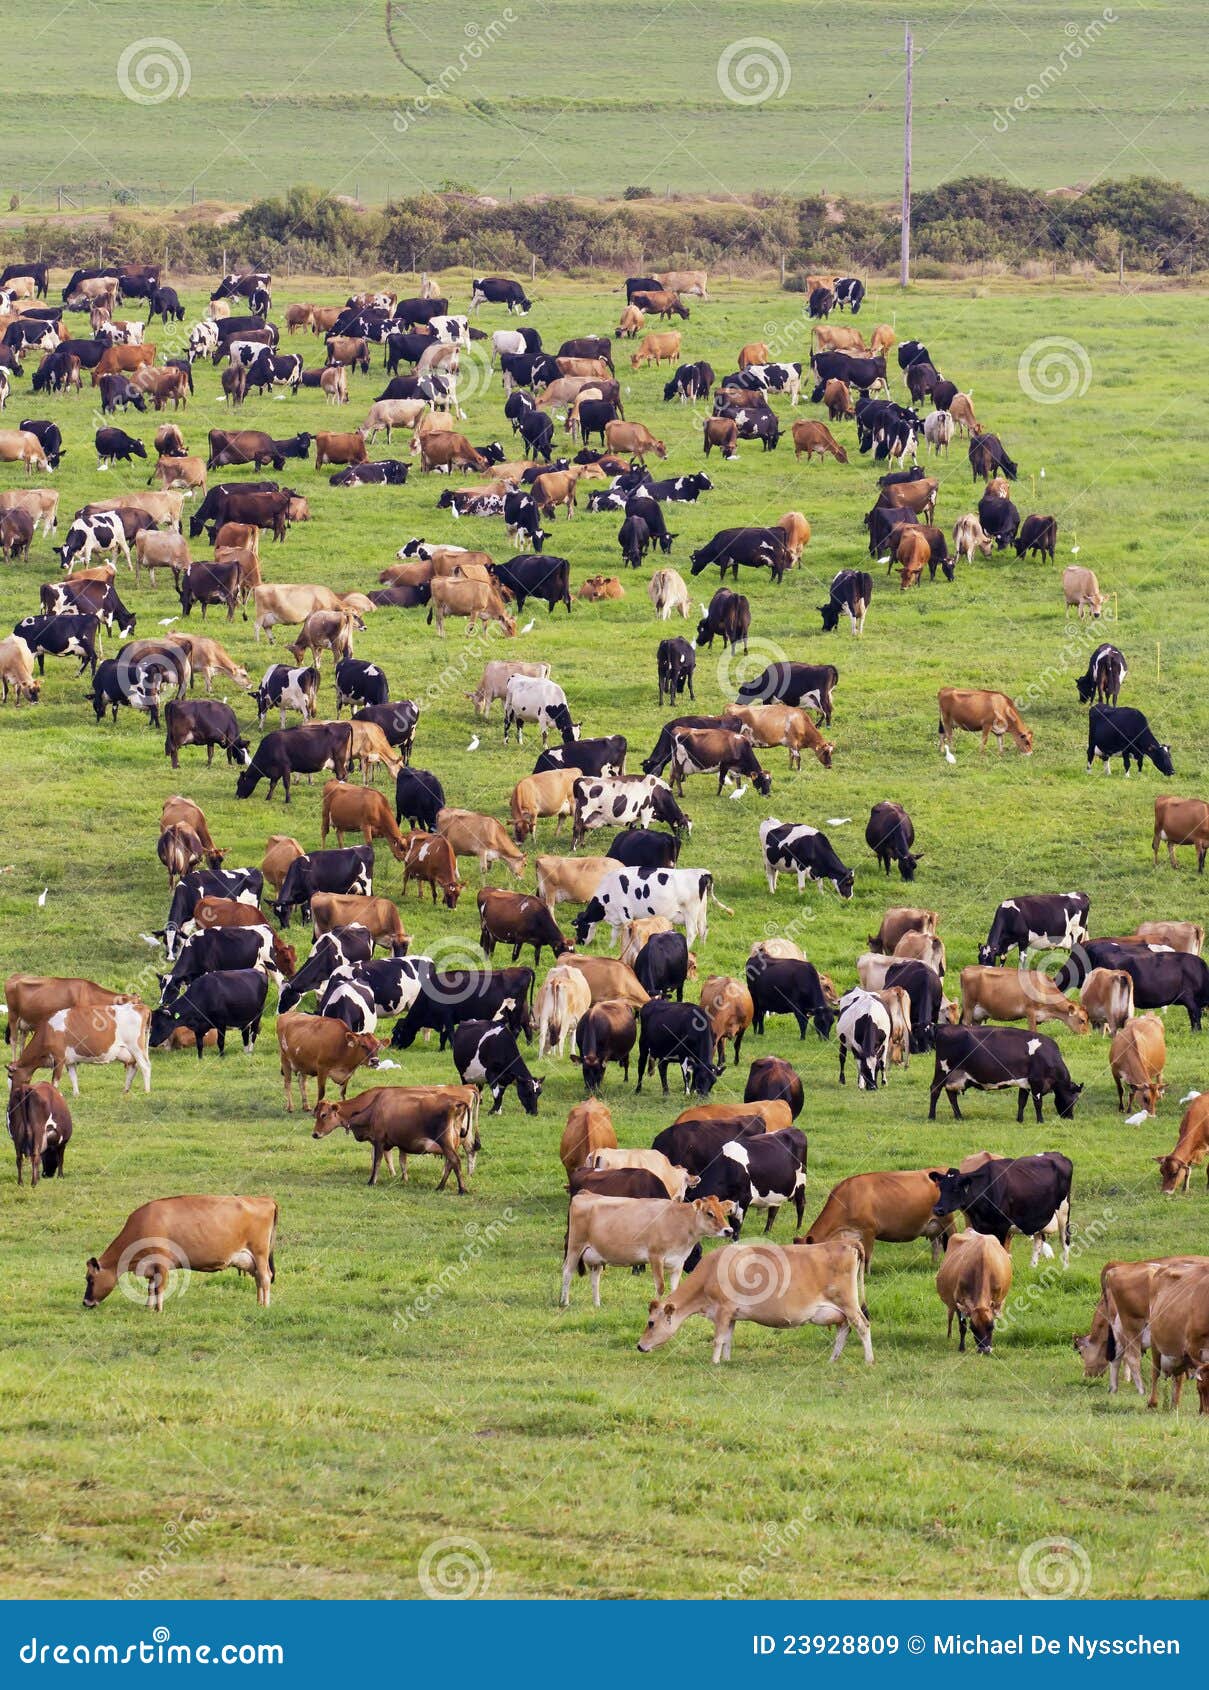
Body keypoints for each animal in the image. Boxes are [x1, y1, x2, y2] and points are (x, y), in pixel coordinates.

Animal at [927, 1026, 1082, 1126]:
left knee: (951, 1094)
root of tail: (943, 1027)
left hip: (954, 1076)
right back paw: (931, 1117)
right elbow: (1037, 1103)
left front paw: (1019, 1120)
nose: (1070, 1117)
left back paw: (959, 1117)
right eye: (1073, 1100)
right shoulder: (1036, 1081)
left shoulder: (1025, 1083)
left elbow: (1022, 1101)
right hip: (942, 1070)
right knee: (935, 1089)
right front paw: (1040, 1121)